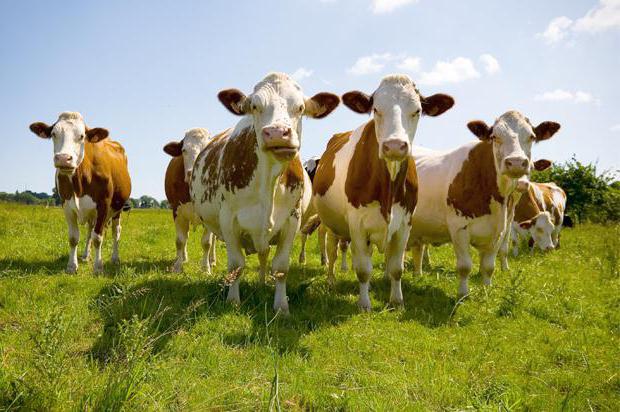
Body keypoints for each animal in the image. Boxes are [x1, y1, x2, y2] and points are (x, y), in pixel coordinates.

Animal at [28, 111, 133, 276]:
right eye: (53, 134)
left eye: (82, 136)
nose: (63, 158)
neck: (80, 182)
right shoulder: (66, 205)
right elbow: (74, 237)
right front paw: (72, 266)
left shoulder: (103, 204)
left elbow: (98, 238)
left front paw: (98, 267)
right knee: (90, 230)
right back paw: (85, 255)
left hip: (118, 208)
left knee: (115, 231)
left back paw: (115, 258)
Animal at [163, 127, 217, 272]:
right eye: (183, 150)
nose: (191, 172)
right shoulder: (177, 211)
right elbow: (180, 240)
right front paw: (177, 267)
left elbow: (207, 243)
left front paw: (206, 268)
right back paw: (183, 258)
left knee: (214, 239)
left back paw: (212, 260)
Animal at [189, 72, 340, 314]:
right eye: (254, 106)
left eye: (300, 107)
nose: (277, 133)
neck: (268, 182)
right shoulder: (228, 219)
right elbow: (236, 264)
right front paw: (233, 301)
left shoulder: (292, 220)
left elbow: (280, 267)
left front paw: (281, 306)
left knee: (263, 253)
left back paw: (262, 282)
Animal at [312, 75, 452, 310]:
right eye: (376, 109)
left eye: (417, 110)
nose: (394, 146)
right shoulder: (357, 224)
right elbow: (363, 269)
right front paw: (364, 304)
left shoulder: (404, 224)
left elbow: (396, 268)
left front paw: (397, 301)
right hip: (331, 223)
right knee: (331, 250)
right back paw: (331, 279)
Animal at [410, 109, 560, 296]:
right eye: (495, 136)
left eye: (532, 136)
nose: (516, 162)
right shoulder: (459, 229)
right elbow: (465, 266)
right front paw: (463, 294)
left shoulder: (500, 230)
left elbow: (489, 267)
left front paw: (487, 292)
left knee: (417, 248)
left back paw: (418, 274)